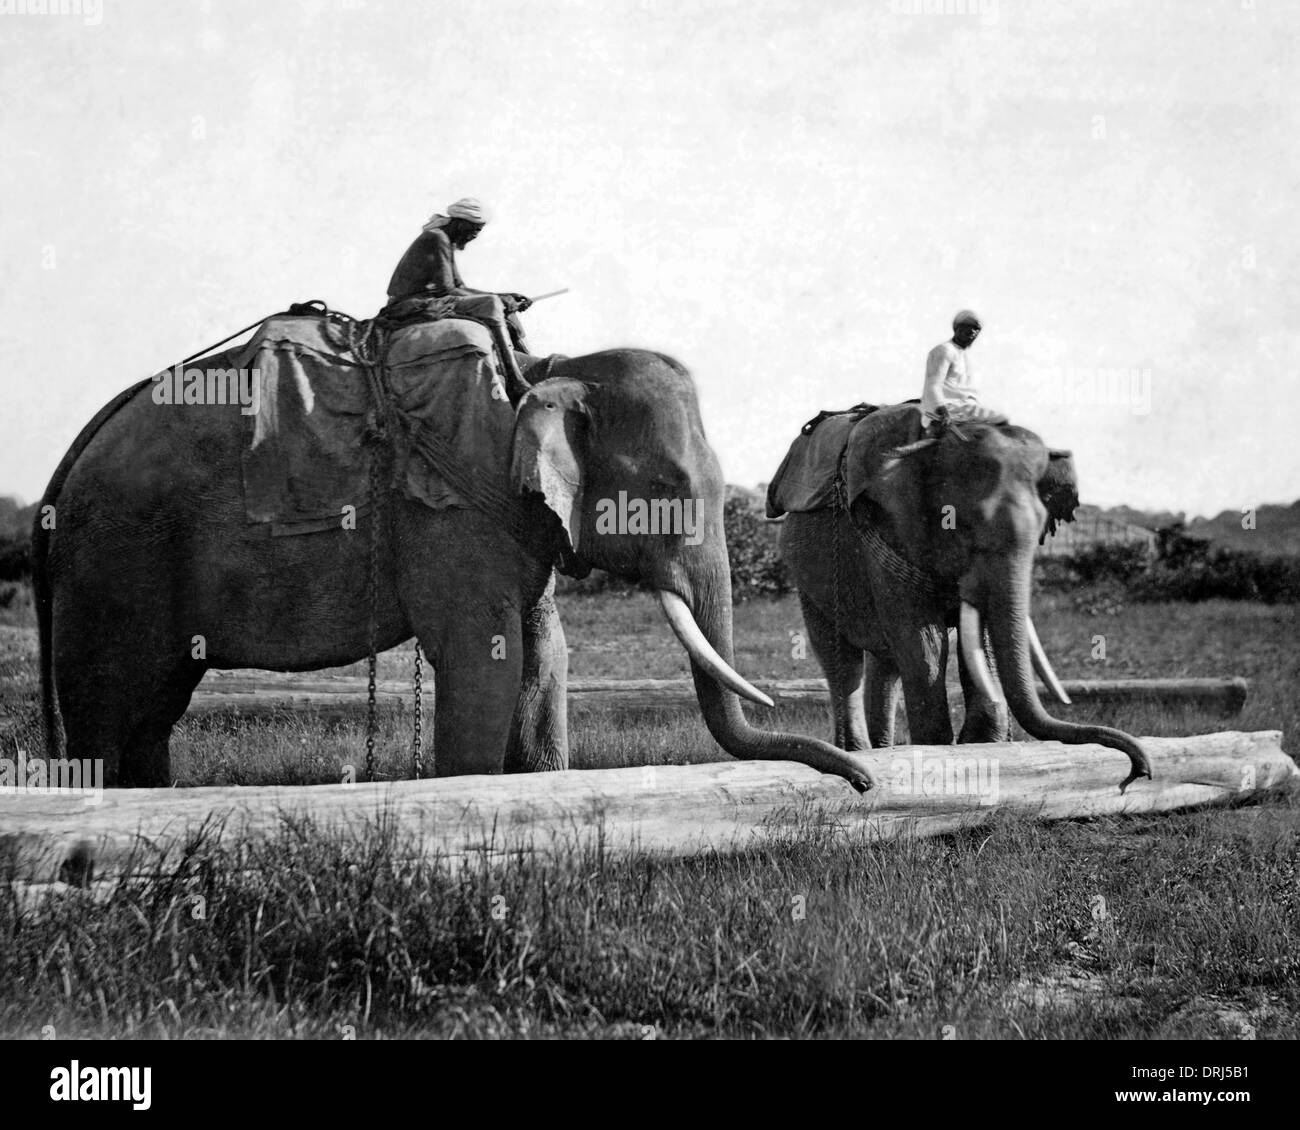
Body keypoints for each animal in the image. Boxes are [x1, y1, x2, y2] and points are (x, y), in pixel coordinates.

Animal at [33, 345, 875, 791]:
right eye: (668, 489)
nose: (861, 779)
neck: (550, 367)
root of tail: (70, 460)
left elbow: (543, 655)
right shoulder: (454, 506)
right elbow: (483, 658)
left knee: (152, 709)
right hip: (115, 558)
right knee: (110, 706)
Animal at [778, 404, 1150, 789]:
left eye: (1041, 526)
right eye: (963, 526)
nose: (1137, 773)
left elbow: (977, 639)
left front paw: (984, 743)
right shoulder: (885, 538)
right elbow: (925, 643)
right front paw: (940, 747)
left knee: (886, 662)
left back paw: (882, 750)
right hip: (804, 572)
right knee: (842, 660)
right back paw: (859, 751)